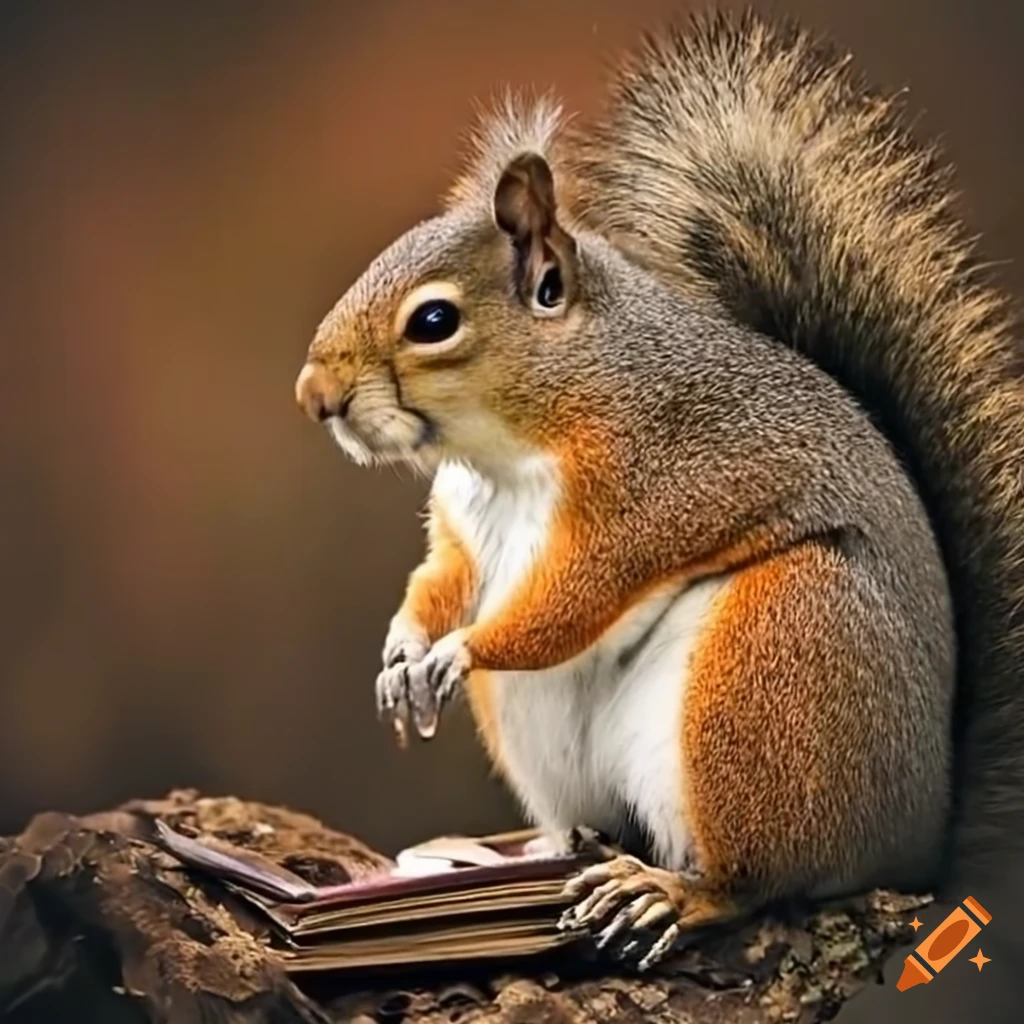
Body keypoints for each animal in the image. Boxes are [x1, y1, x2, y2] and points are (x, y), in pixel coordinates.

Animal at [294, 9, 1023, 969]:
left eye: (434, 320)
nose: (313, 395)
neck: (512, 444)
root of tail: (919, 842)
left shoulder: (645, 491)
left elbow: (567, 603)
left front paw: (460, 650)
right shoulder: (463, 525)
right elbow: (442, 579)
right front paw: (403, 653)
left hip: (778, 655)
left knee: (757, 880)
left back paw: (671, 895)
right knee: (599, 825)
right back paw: (540, 850)